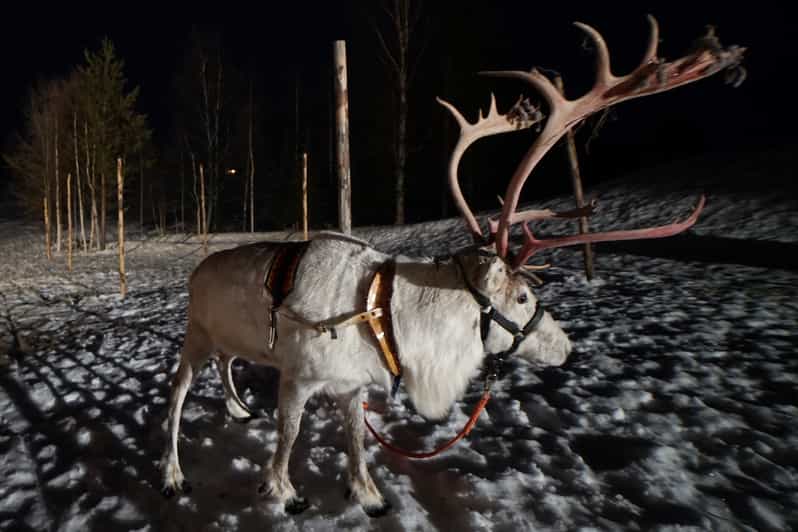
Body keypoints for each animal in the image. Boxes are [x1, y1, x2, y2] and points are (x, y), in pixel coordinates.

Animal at [160, 16, 744, 517]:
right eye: (524, 296)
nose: (567, 348)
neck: (387, 315)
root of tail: (197, 271)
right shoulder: (299, 378)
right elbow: (287, 440)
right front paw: (282, 491)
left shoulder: (350, 385)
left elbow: (356, 442)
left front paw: (367, 494)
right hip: (194, 336)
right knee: (178, 397)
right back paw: (172, 474)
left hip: (227, 339)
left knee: (227, 362)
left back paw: (237, 409)